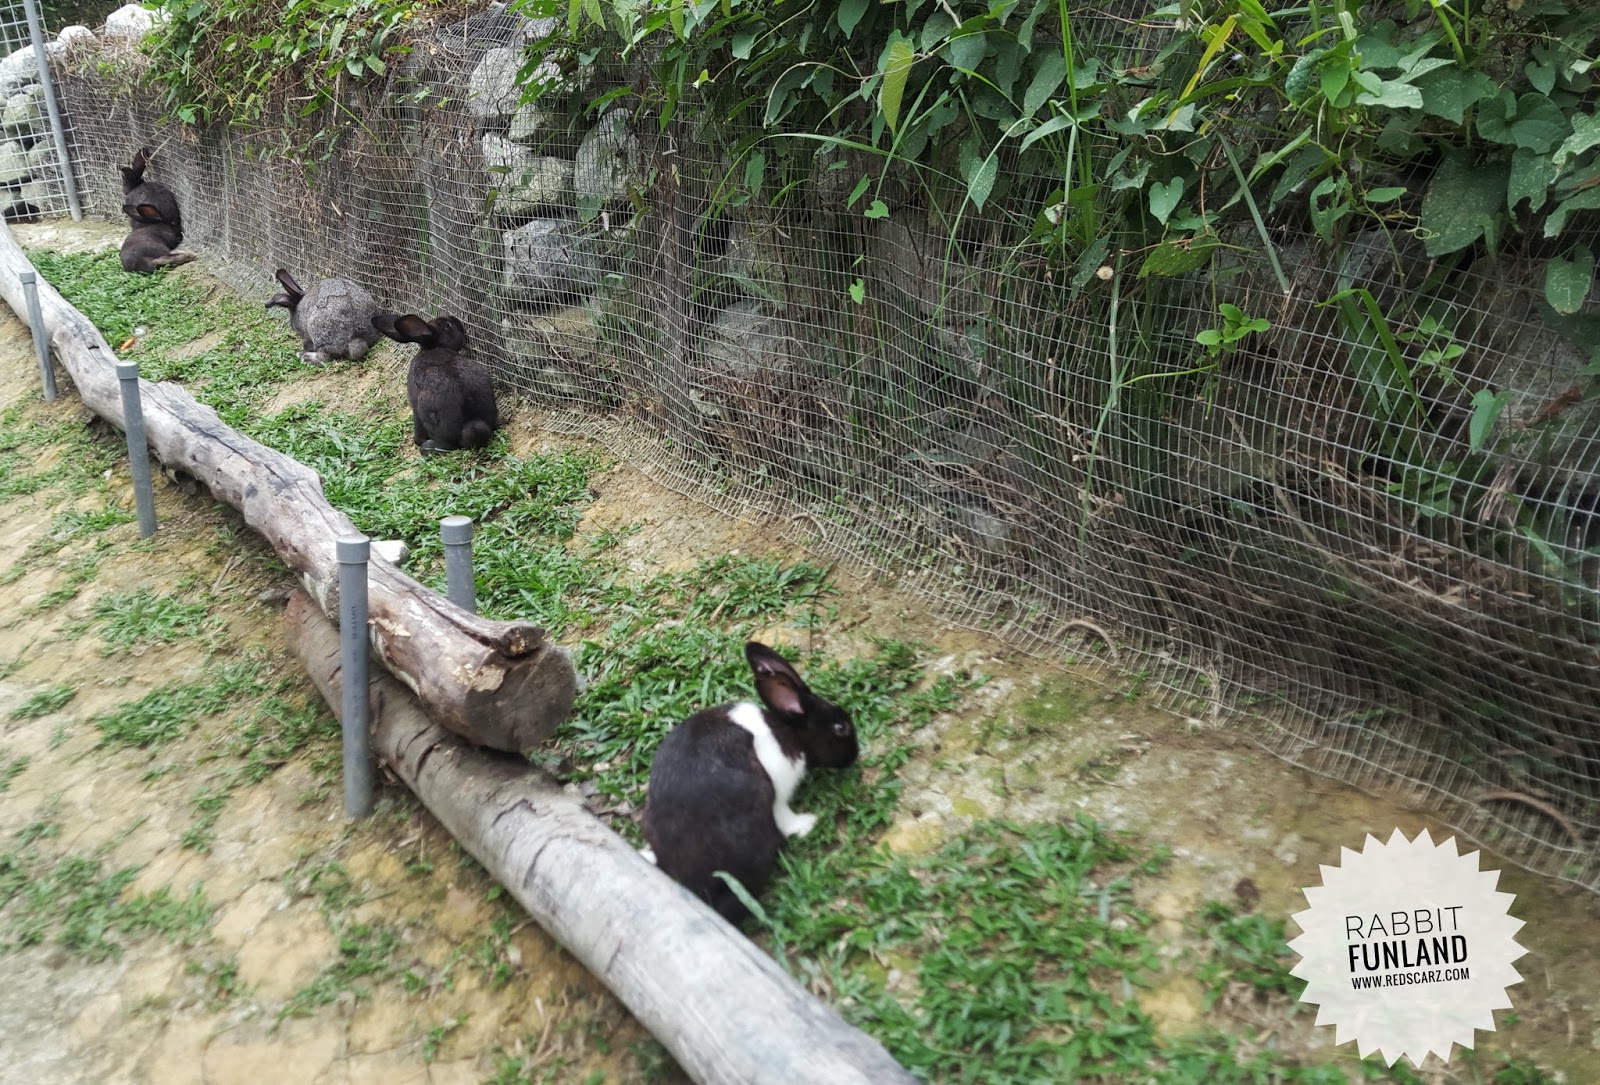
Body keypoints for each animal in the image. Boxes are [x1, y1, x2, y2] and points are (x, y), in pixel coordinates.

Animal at [371, 311, 499, 452]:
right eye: (448, 326)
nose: (455, 320)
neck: (433, 347)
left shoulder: (414, 403)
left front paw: (418, 440)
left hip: (426, 411)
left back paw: (426, 447)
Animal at [640, 641, 858, 924]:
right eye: (840, 728)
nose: (855, 754)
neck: (789, 732)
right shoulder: (777, 787)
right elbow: (784, 815)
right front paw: (807, 823)